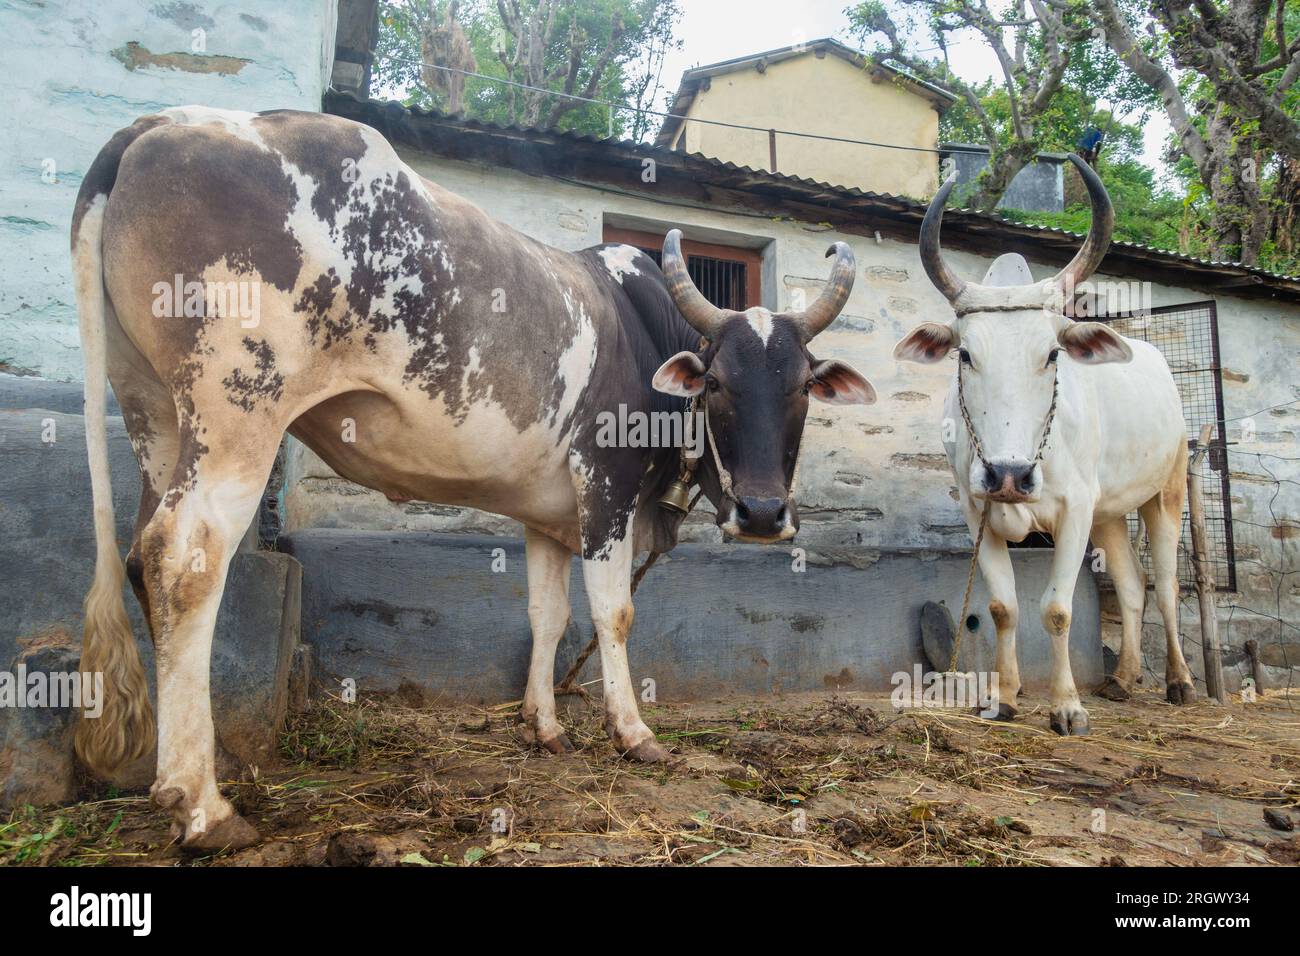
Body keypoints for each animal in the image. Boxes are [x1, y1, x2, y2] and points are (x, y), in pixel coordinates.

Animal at [70, 107, 876, 848]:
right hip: (238, 410)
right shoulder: (606, 491)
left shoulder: (549, 516)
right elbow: (612, 613)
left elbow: (546, 616)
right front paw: (634, 732)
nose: (764, 513)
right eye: (716, 386)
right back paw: (201, 804)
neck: (646, 331)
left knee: (141, 554)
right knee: (183, 557)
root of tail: (162, 124)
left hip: (154, 413)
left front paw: (543, 726)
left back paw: (188, 770)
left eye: (802, 388)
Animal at [893, 155, 1197, 736]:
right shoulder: (980, 511)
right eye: (965, 354)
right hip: (1108, 512)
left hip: (1166, 491)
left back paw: (1181, 683)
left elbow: (1057, 609)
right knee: (1132, 583)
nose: (1009, 474)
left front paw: (1067, 707)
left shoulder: (1074, 510)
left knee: (1167, 584)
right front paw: (1005, 696)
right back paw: (1122, 679)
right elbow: (1002, 607)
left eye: (1053, 353)